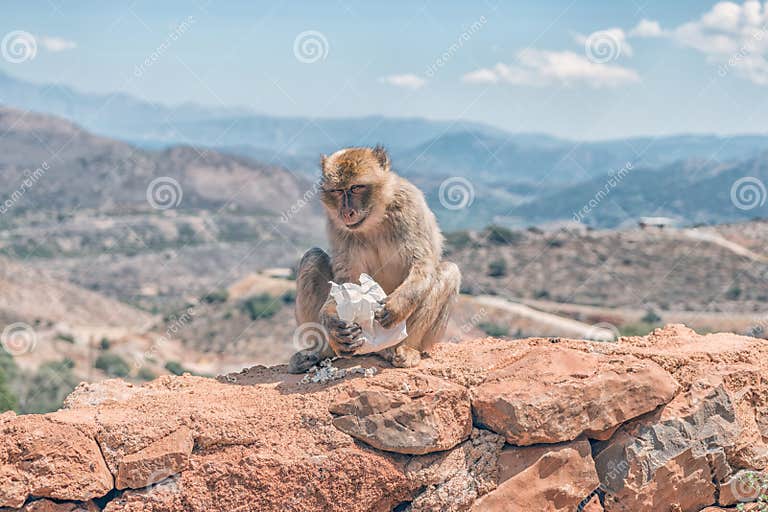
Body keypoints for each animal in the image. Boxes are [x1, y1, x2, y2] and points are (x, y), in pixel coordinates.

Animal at [288, 145, 461, 374]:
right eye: (337, 191)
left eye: (356, 188)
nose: (346, 212)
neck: (376, 217)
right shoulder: (336, 225)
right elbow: (347, 281)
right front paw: (333, 323)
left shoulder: (410, 205)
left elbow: (422, 264)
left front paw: (396, 306)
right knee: (312, 258)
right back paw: (321, 352)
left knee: (449, 272)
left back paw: (405, 349)